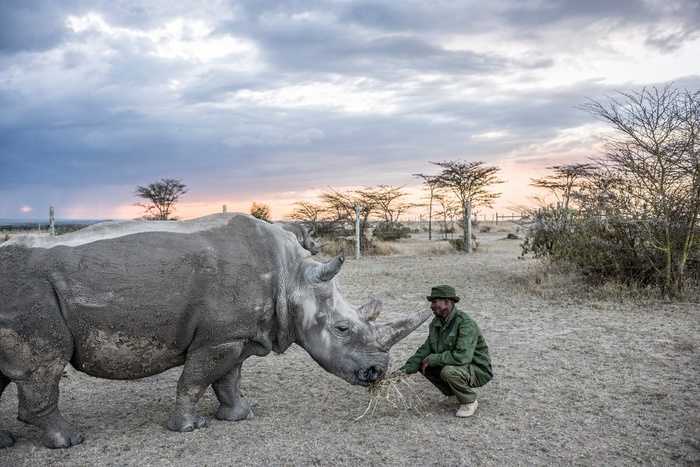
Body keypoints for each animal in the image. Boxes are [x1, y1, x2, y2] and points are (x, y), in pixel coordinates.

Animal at [0, 213, 430, 449]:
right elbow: (195, 380)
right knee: (45, 366)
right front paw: (189, 428)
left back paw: (9, 443)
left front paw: (240, 416)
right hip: (30, 292)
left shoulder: (236, 334)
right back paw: (69, 441)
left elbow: (229, 379)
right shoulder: (217, 339)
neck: (293, 278)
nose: (376, 373)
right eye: (342, 329)